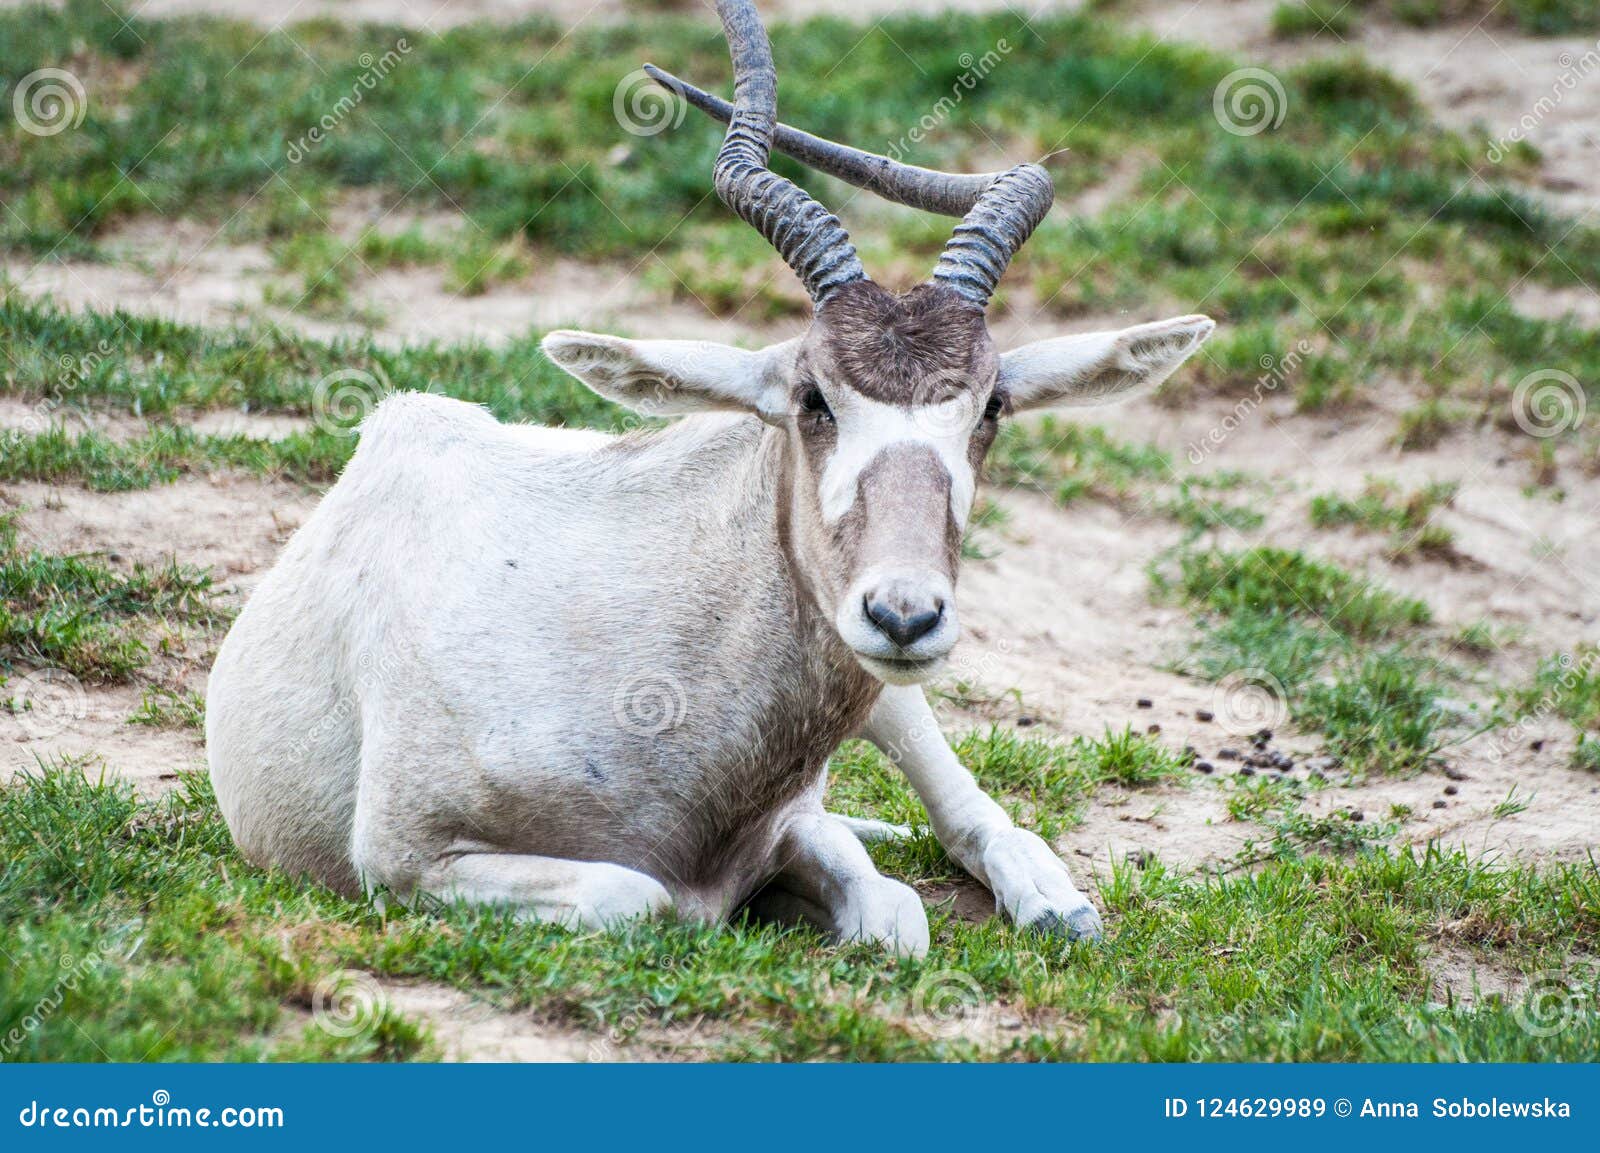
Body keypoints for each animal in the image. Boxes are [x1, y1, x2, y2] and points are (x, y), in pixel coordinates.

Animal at [206, 0, 1212, 956]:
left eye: (991, 406)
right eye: (812, 396)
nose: (904, 615)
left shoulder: (799, 815)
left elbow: (893, 913)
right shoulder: (402, 857)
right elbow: (639, 893)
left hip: (892, 691)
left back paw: (1058, 904)